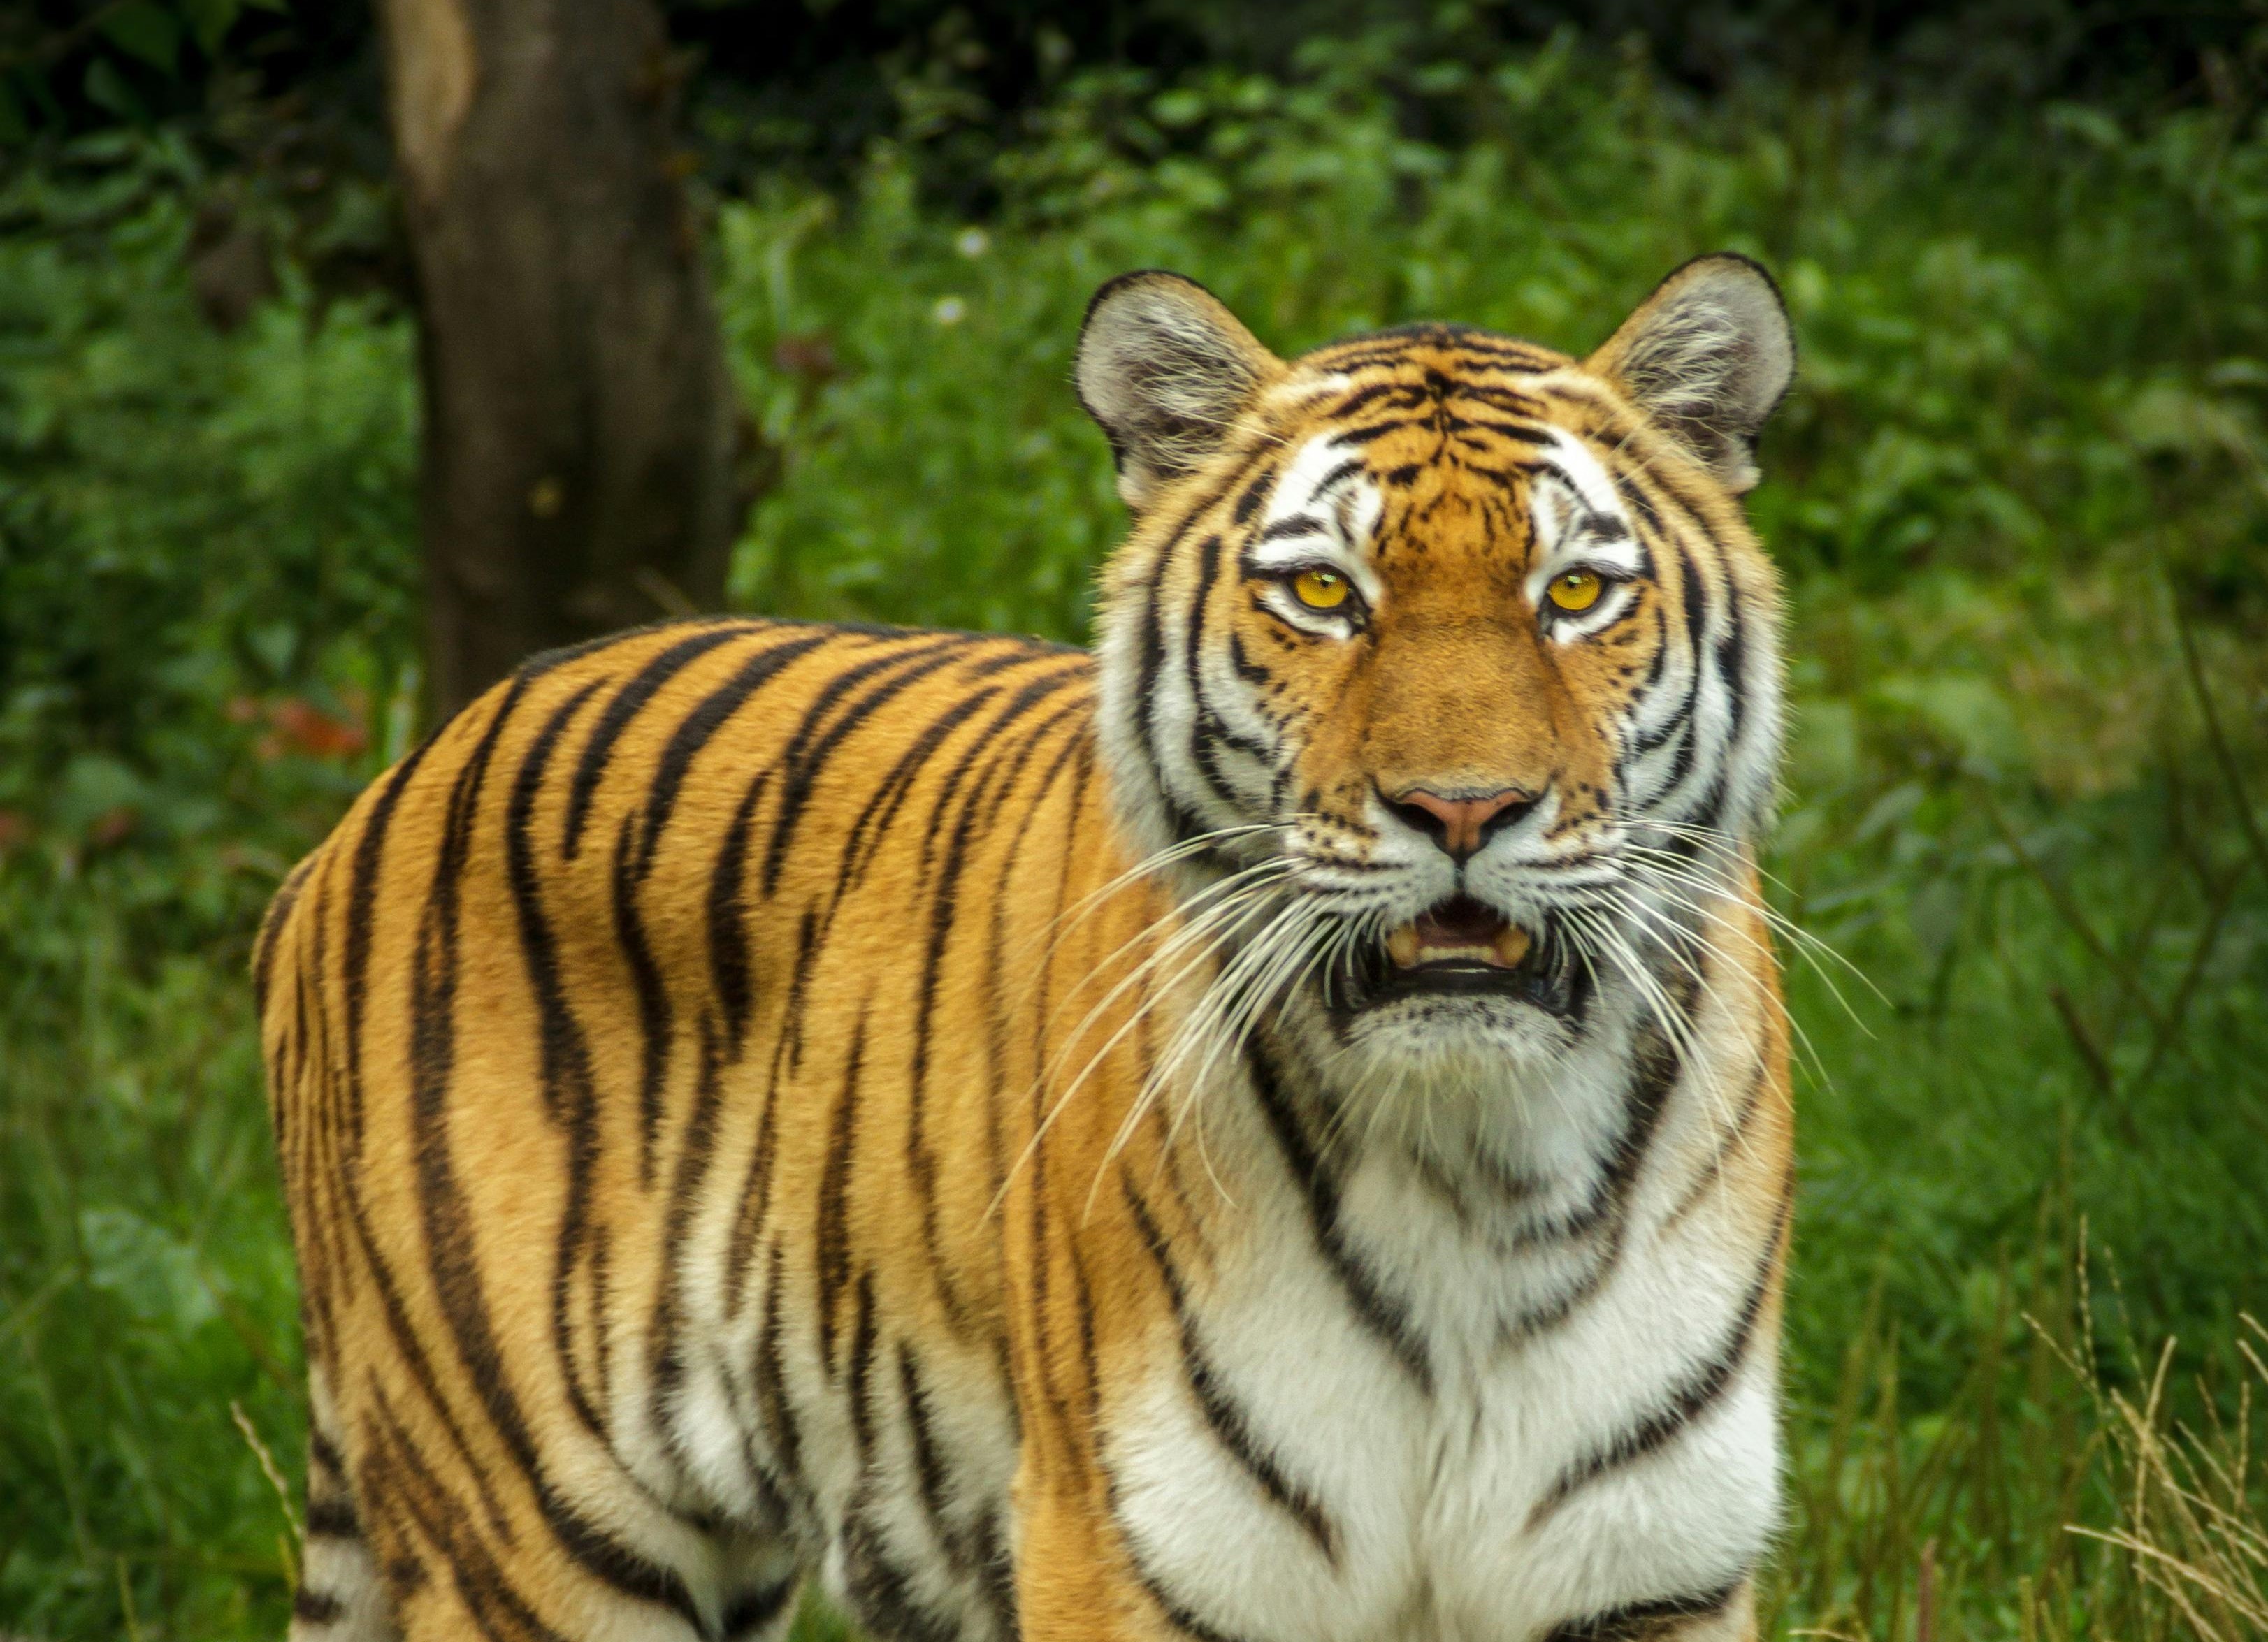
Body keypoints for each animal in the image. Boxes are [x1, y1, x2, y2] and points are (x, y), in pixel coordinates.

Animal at [254, 252, 1797, 1642]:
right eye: (1321, 597)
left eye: (1575, 596)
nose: (1463, 807)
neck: (1479, 1171)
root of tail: (385, 791)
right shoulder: (1130, 1550)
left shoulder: (1648, 1569)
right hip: (536, 1531)